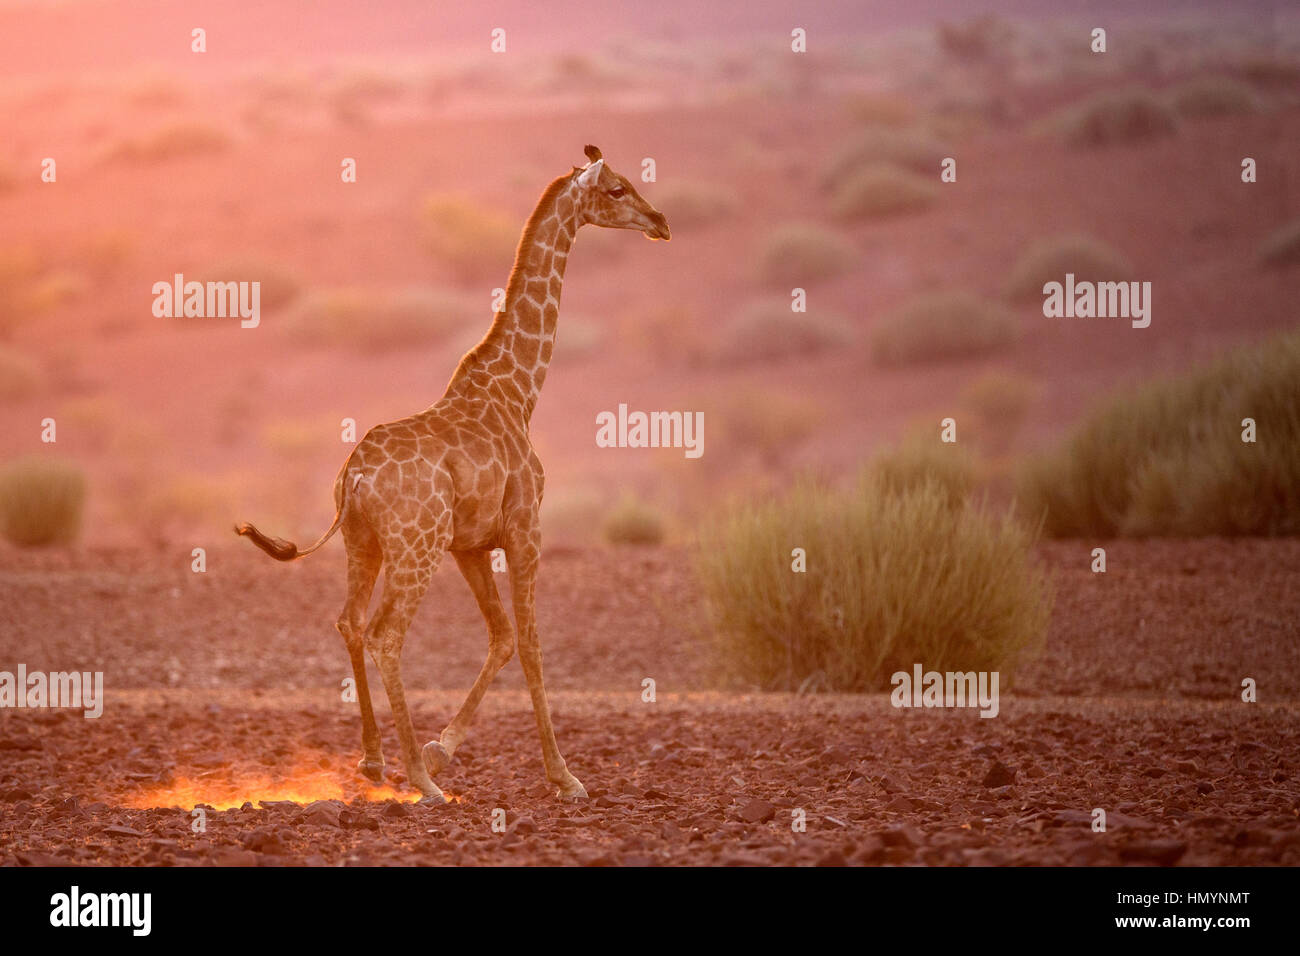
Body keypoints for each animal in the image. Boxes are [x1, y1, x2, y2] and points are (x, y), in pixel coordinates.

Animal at [235, 145, 670, 801]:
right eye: (618, 189)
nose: (661, 221)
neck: (519, 392)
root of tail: (354, 476)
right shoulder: (524, 527)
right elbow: (532, 641)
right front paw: (563, 776)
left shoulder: (470, 544)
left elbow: (503, 635)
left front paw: (444, 748)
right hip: (416, 547)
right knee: (387, 635)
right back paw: (419, 782)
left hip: (366, 542)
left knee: (350, 623)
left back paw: (375, 762)